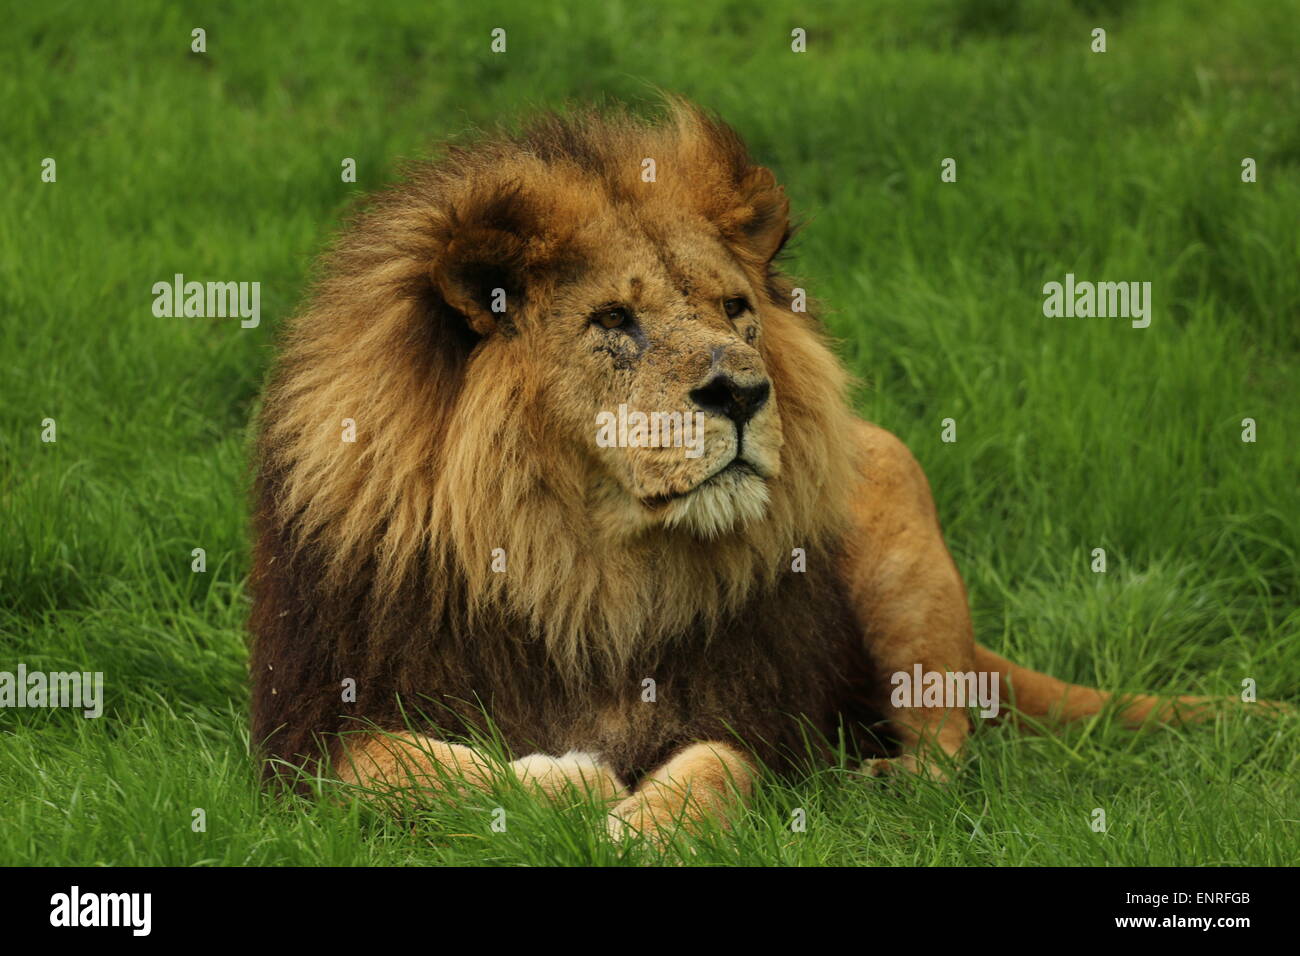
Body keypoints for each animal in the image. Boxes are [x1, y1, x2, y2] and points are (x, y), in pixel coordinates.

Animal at [249, 98, 1250, 840]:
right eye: (614, 321)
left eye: (736, 309)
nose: (741, 390)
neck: (591, 570)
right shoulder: (307, 734)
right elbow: (409, 770)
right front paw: (569, 784)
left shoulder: (768, 710)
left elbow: (718, 768)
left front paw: (648, 827)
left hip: (900, 537)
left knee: (950, 744)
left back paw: (885, 784)